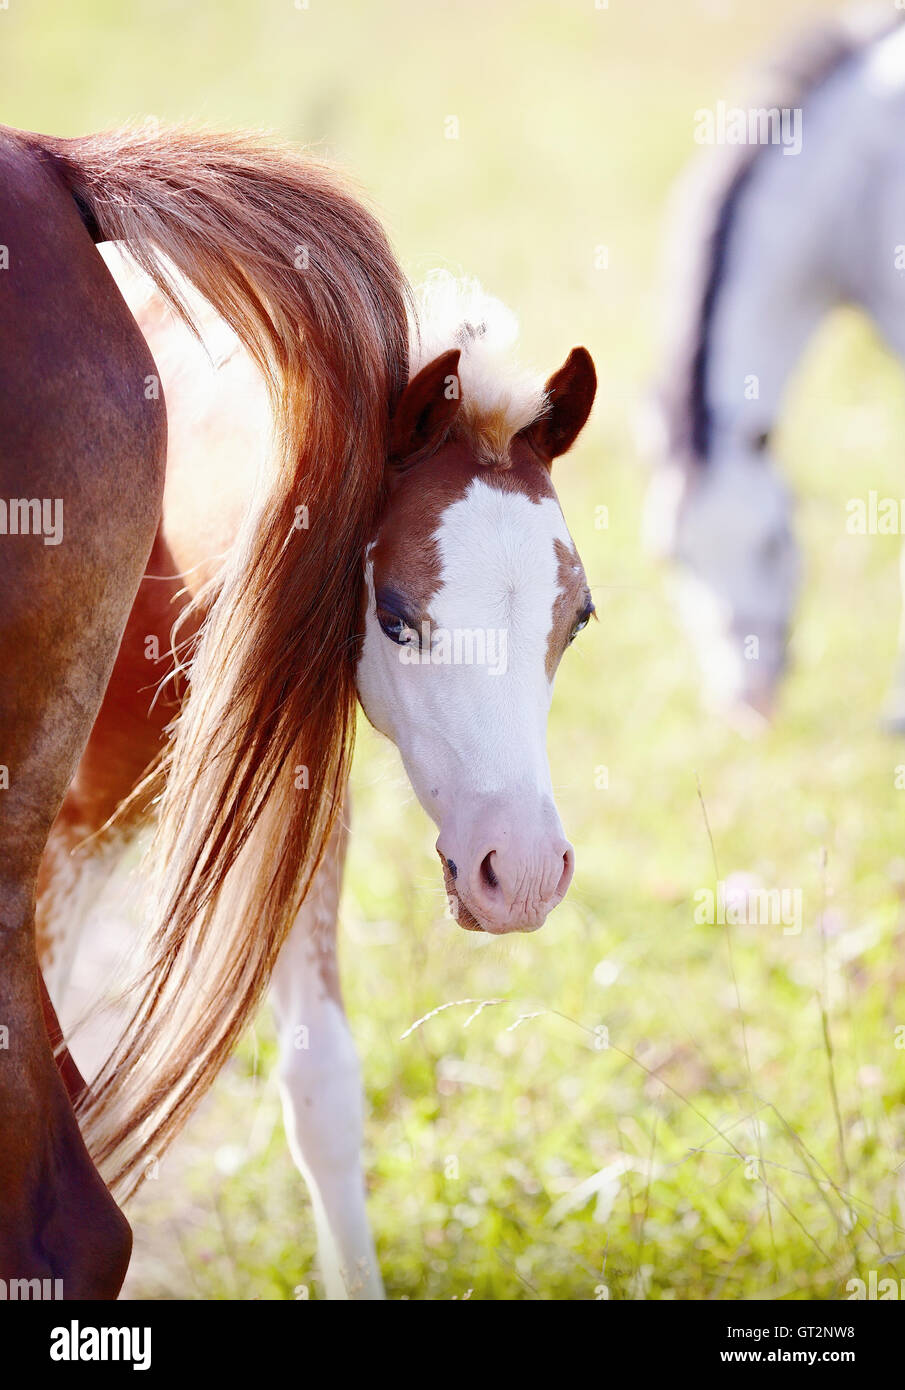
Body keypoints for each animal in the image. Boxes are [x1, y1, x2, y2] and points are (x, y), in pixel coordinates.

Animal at [0, 121, 597, 1299]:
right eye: (397, 614)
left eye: (578, 618)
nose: (519, 874)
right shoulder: (68, 839)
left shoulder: (288, 801)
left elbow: (322, 1088)